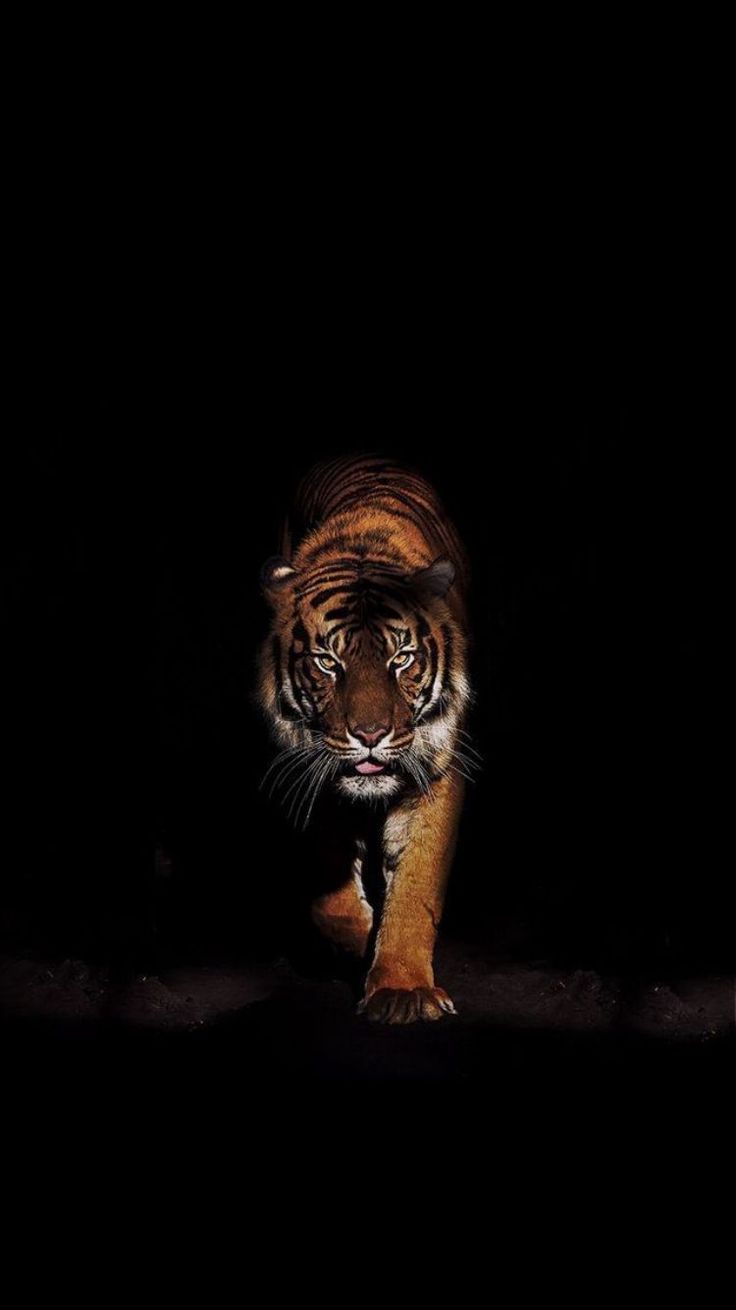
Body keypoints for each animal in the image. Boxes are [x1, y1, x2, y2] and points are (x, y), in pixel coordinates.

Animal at [258, 455, 474, 1023]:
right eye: (327, 663)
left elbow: (417, 885)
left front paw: (402, 990)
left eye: (401, 658)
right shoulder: (312, 769)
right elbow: (330, 887)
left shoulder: (436, 771)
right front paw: (357, 943)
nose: (371, 734)